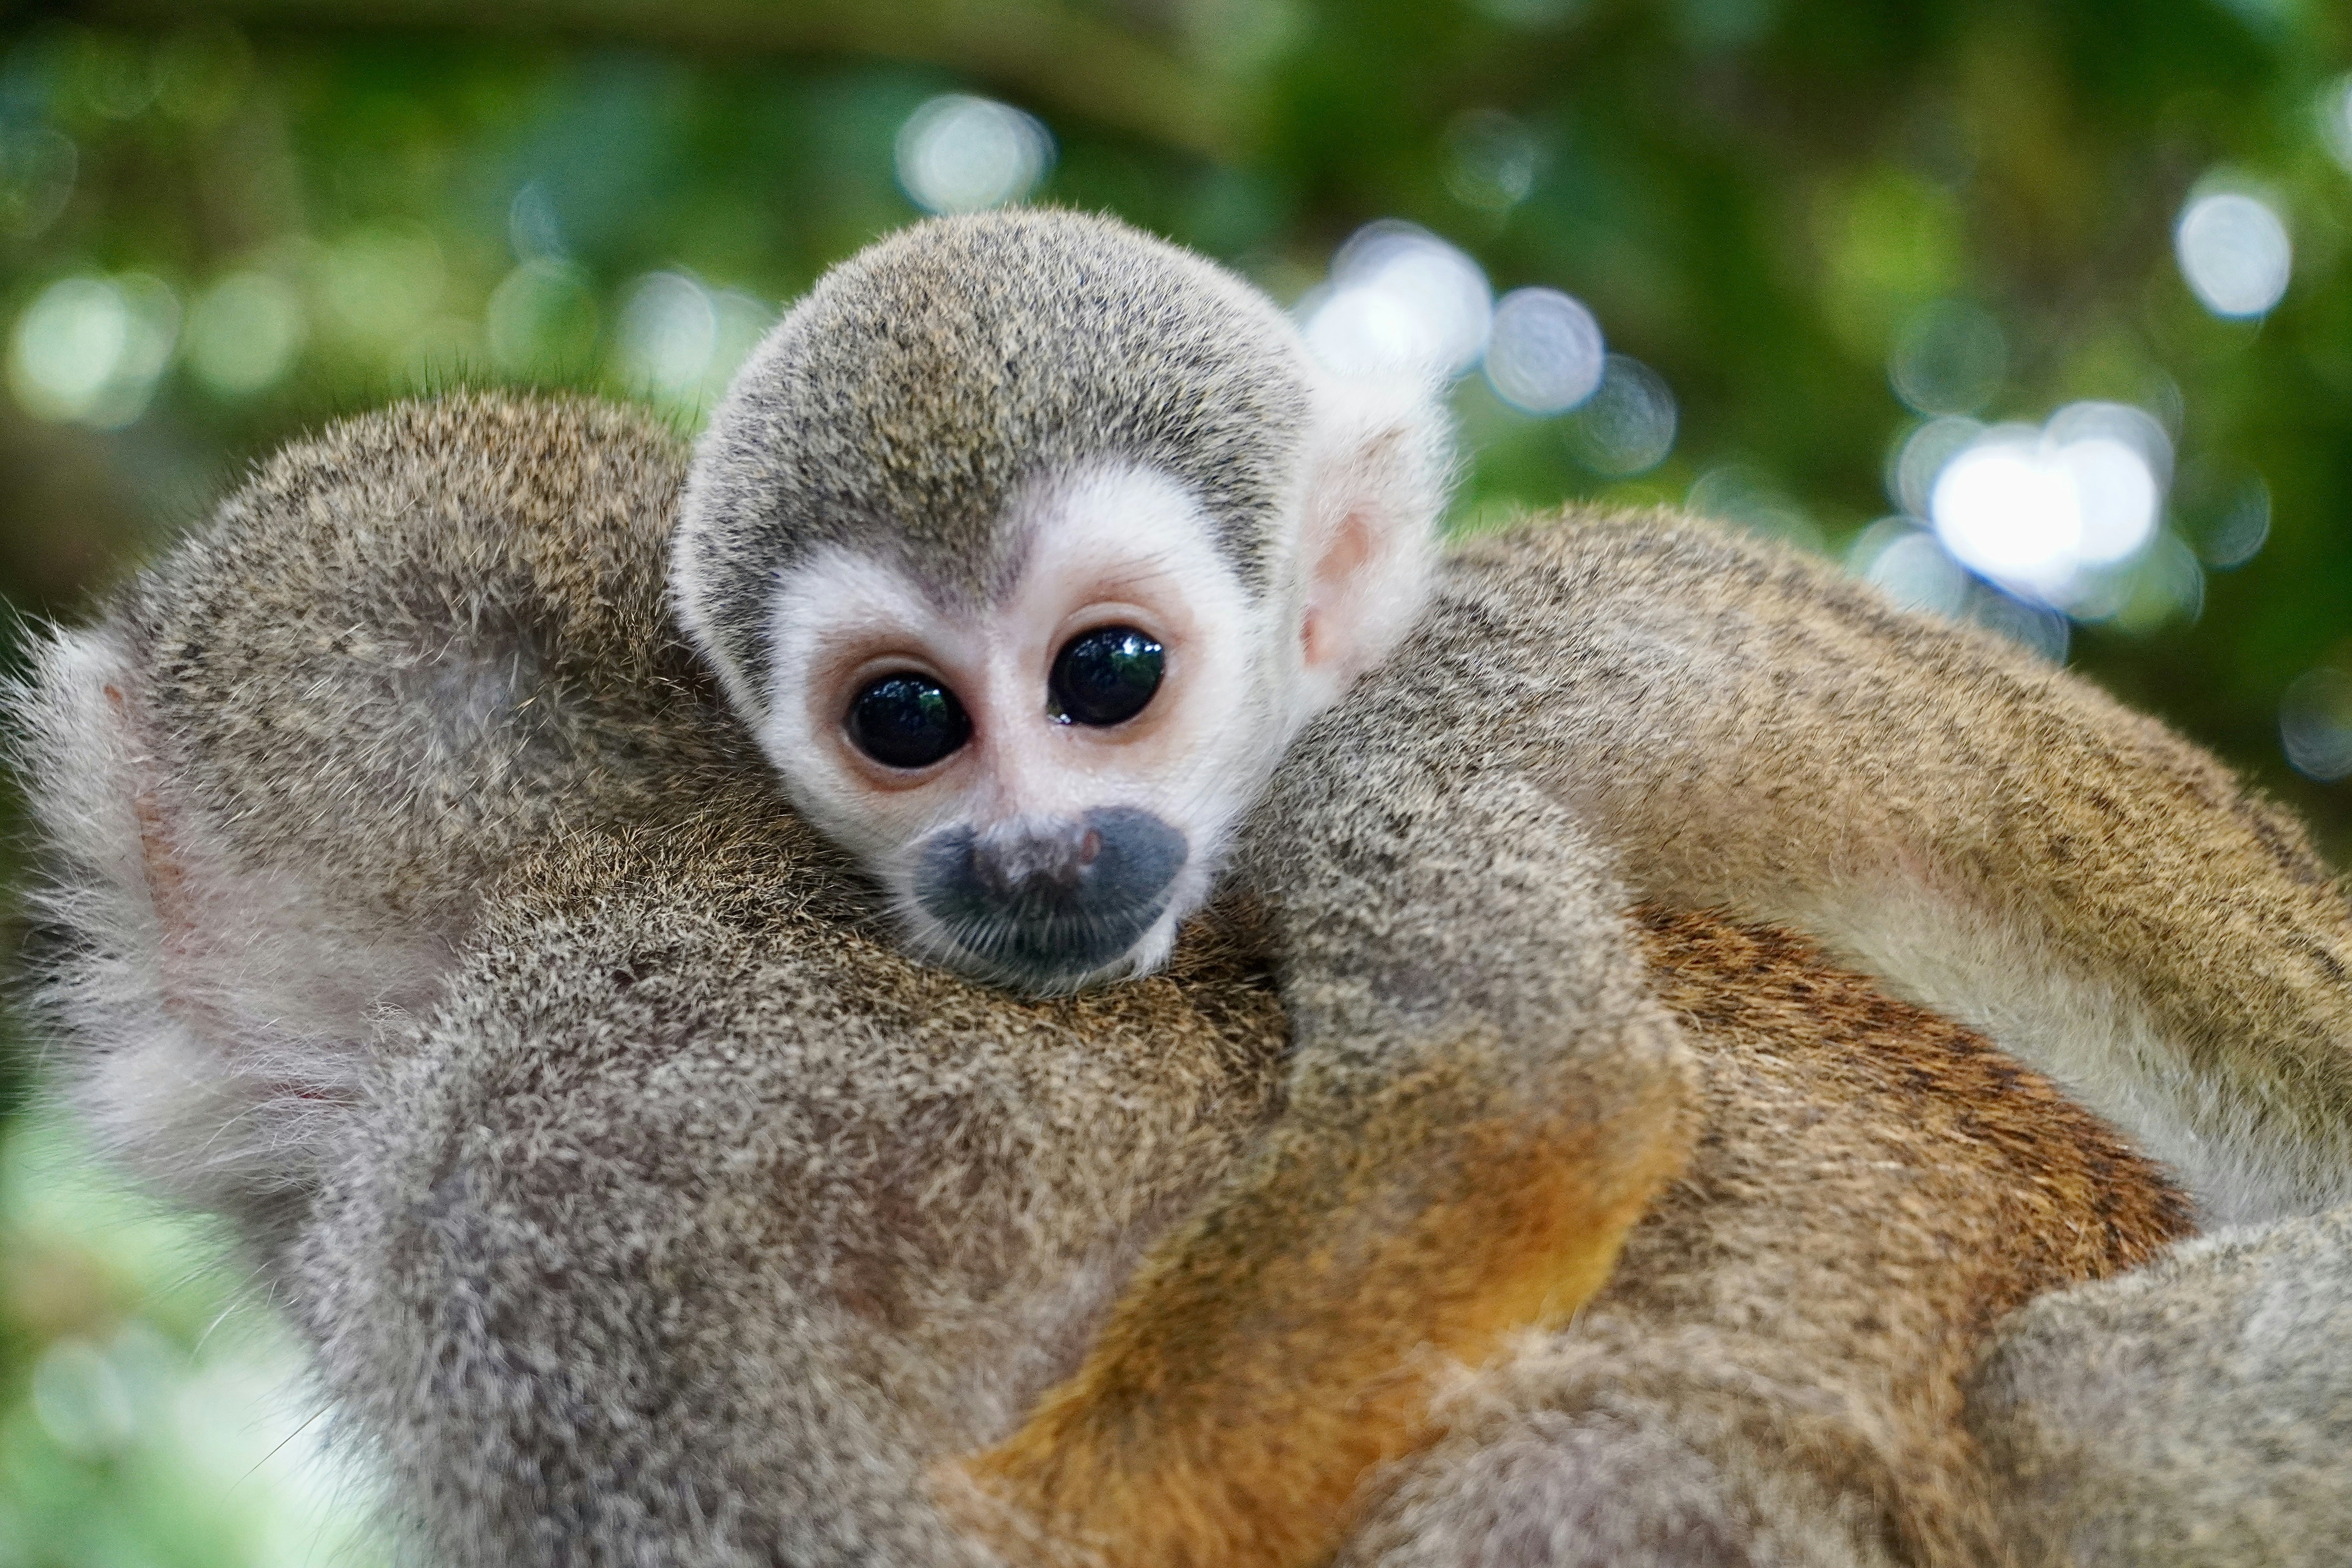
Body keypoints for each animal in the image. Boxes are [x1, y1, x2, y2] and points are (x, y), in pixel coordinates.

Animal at [666, 209, 2352, 1558]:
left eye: (1108, 673)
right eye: (906, 717)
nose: (1031, 853)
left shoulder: (1377, 776)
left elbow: (1524, 1095)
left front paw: (1033, 1524)